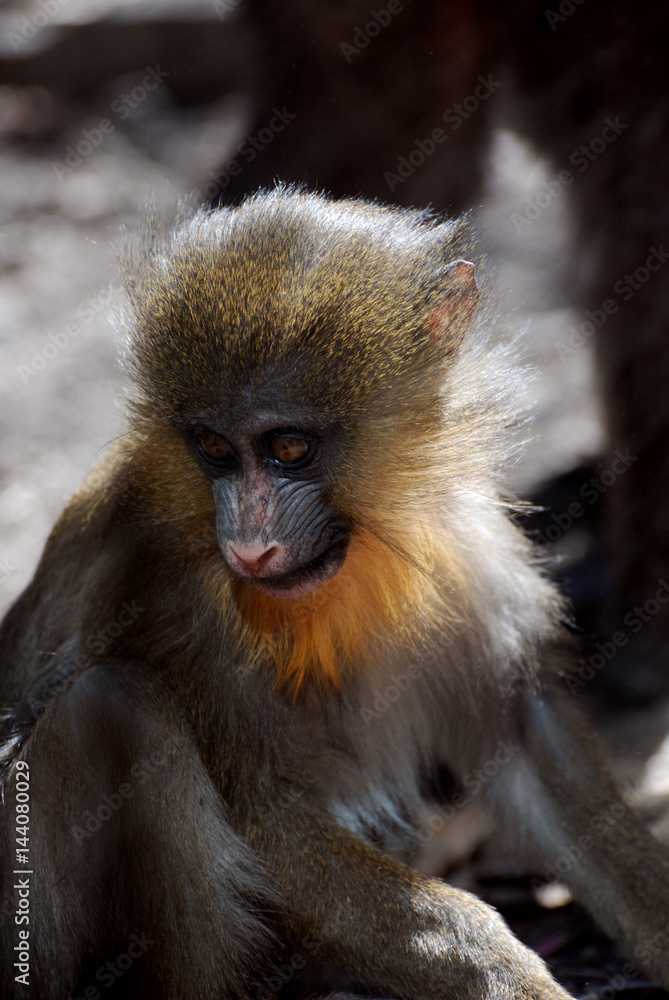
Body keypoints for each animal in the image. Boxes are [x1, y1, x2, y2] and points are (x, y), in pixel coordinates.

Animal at [1, 188, 669, 1000]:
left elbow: (528, 742)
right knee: (110, 707)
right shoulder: (172, 592)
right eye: (213, 449)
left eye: (288, 447)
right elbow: (262, 814)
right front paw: (504, 974)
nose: (249, 546)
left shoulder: (469, 558)